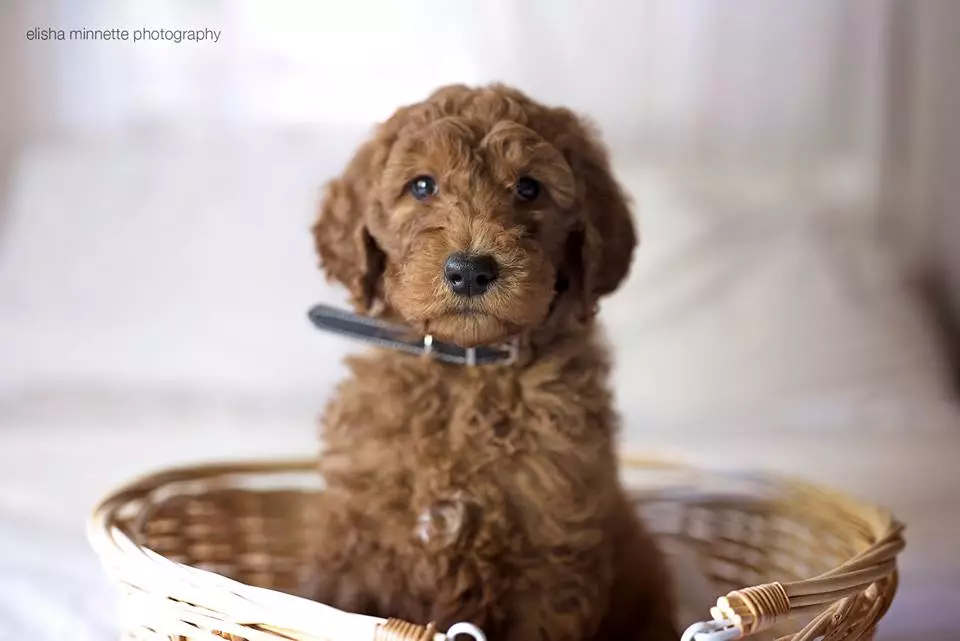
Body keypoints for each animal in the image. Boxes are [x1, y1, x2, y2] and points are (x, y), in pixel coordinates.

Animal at [308, 85, 676, 640]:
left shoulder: (549, 563)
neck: (468, 372)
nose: (470, 270)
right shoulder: (357, 552)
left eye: (528, 188)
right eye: (422, 185)